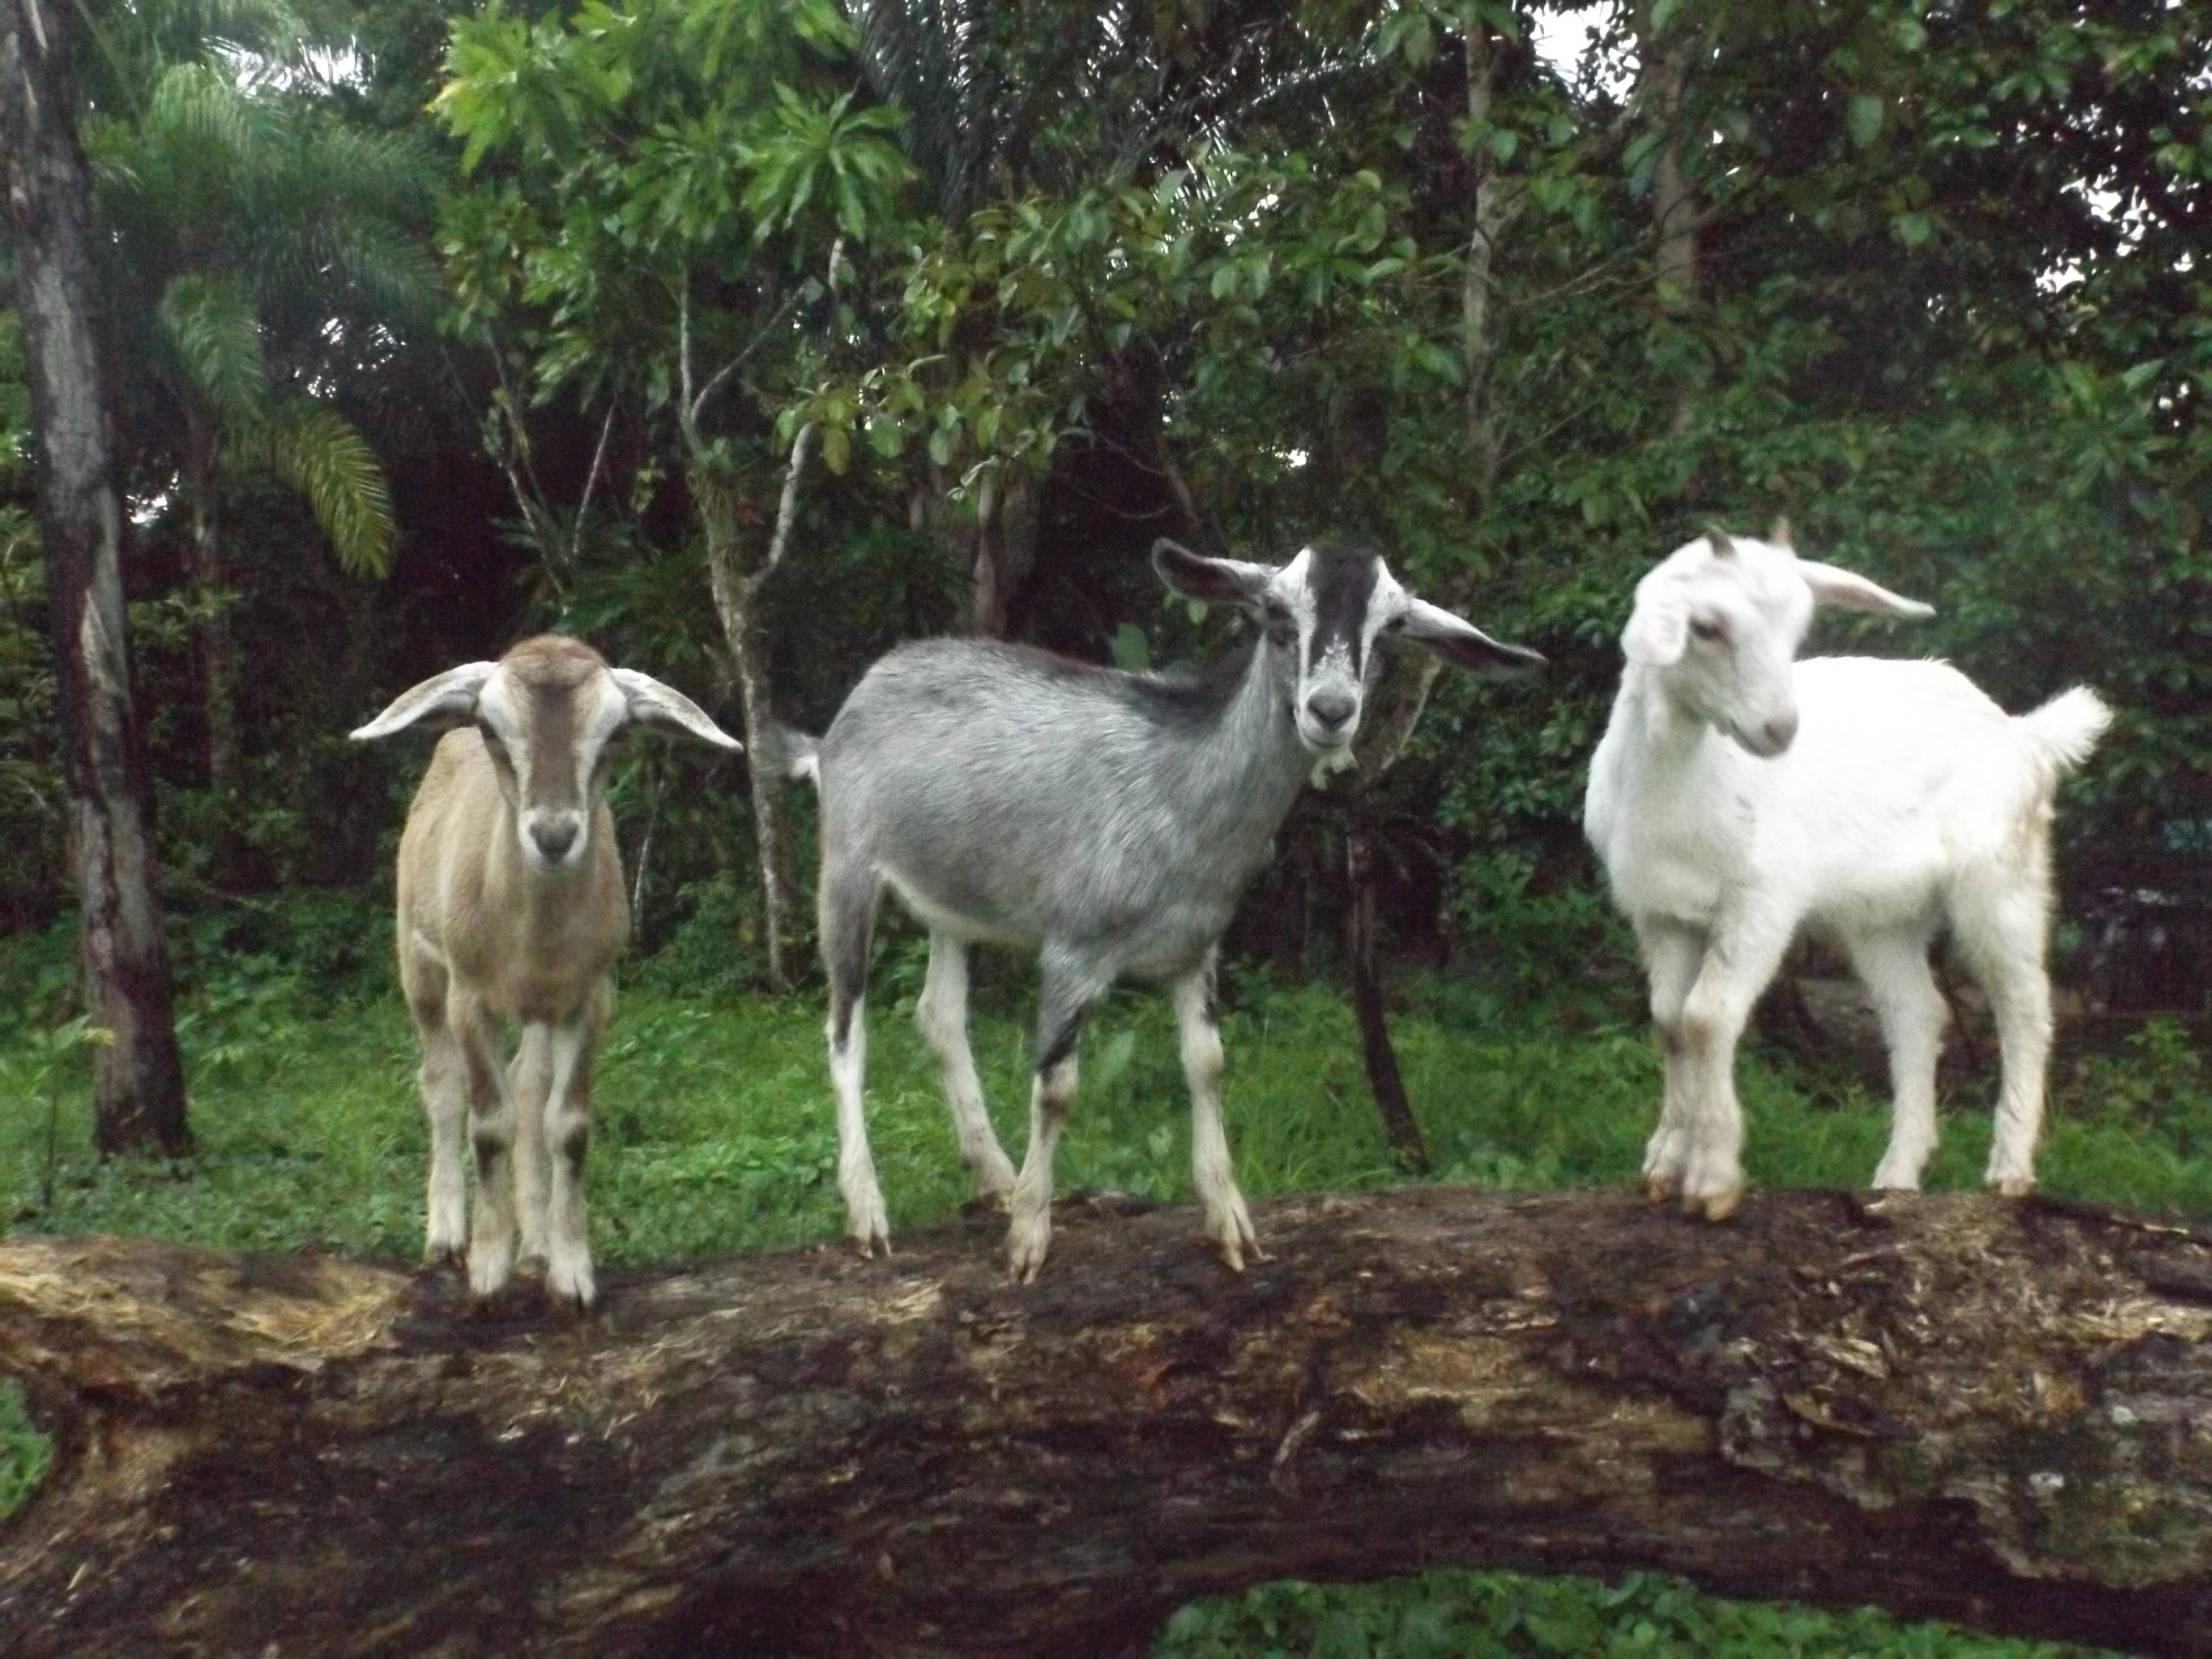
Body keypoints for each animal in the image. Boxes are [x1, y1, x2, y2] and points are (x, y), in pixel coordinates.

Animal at [351, 636, 740, 1308]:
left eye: (617, 733)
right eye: (492, 727)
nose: (554, 836)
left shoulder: (590, 996)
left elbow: (569, 1126)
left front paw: (572, 1274)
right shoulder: (470, 995)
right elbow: (487, 1123)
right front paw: (487, 1274)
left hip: (536, 1008)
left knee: (529, 1089)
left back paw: (533, 1244)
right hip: (417, 959)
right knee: (441, 1084)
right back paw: (447, 1236)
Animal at [787, 538, 1543, 1279]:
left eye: (1389, 631)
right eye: (1275, 614)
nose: (1330, 710)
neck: (1178, 797)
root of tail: (845, 715)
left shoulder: (1196, 949)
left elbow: (1207, 1065)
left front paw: (1230, 1221)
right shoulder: (1073, 946)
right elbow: (1056, 1086)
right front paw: (1030, 1237)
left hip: (953, 900)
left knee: (939, 1018)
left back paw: (994, 1174)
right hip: (847, 866)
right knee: (845, 1029)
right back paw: (869, 1209)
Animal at [1583, 525, 2110, 1219]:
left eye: (1797, 633)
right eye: (1706, 627)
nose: (1780, 729)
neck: (1681, 785)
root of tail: (2024, 734)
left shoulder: (1764, 899)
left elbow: (1708, 1015)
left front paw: (1714, 1177)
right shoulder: (1659, 911)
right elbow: (1669, 1020)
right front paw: (1664, 1164)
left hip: (2001, 875)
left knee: (2024, 1005)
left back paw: (2009, 1169)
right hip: (1884, 915)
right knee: (1918, 1012)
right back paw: (1898, 1173)